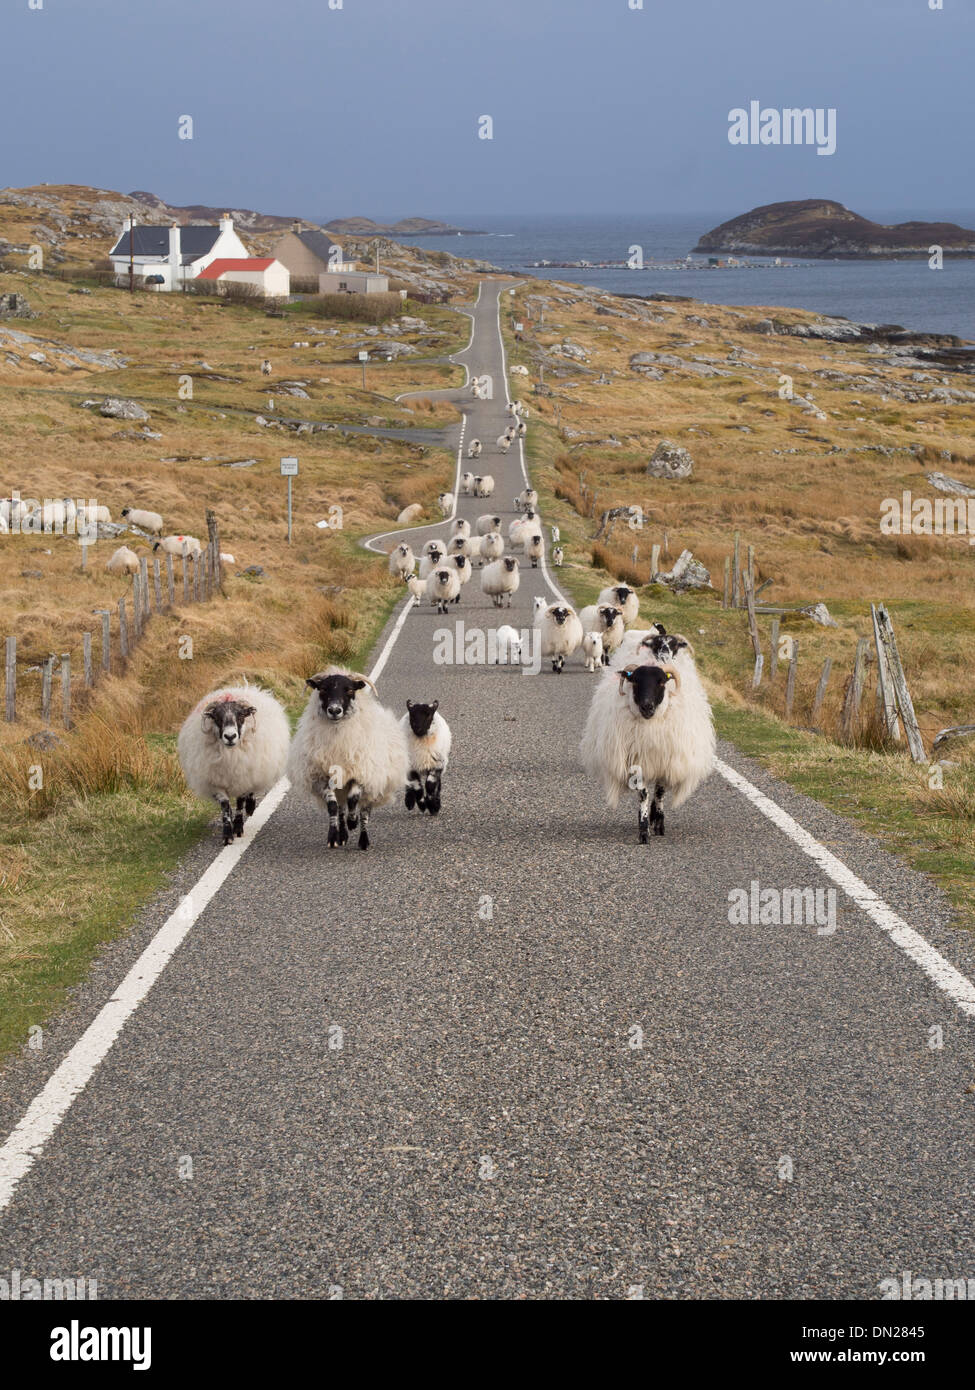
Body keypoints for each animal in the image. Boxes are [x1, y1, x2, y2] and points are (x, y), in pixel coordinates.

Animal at [178, 684, 290, 846]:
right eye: (217, 718)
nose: (230, 736)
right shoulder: (215, 781)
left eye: (241, 716)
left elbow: (240, 803)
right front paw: (227, 833)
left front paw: (237, 827)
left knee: (250, 794)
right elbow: (225, 806)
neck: (229, 756)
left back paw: (250, 808)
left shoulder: (242, 778)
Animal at [287, 667, 408, 851]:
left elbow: (354, 799)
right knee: (341, 809)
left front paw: (353, 822)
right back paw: (342, 834)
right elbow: (332, 807)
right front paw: (333, 836)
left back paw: (363, 839)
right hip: (341, 786)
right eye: (323, 689)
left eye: (350, 690)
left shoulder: (360, 773)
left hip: (373, 784)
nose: (334, 710)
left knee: (364, 811)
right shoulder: (323, 776)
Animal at [579, 656, 715, 842]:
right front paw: (643, 830)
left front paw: (658, 823)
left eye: (661, 682)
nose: (647, 706)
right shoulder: (638, 761)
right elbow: (643, 795)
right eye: (635, 681)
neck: (650, 724)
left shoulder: (664, 763)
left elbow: (659, 793)